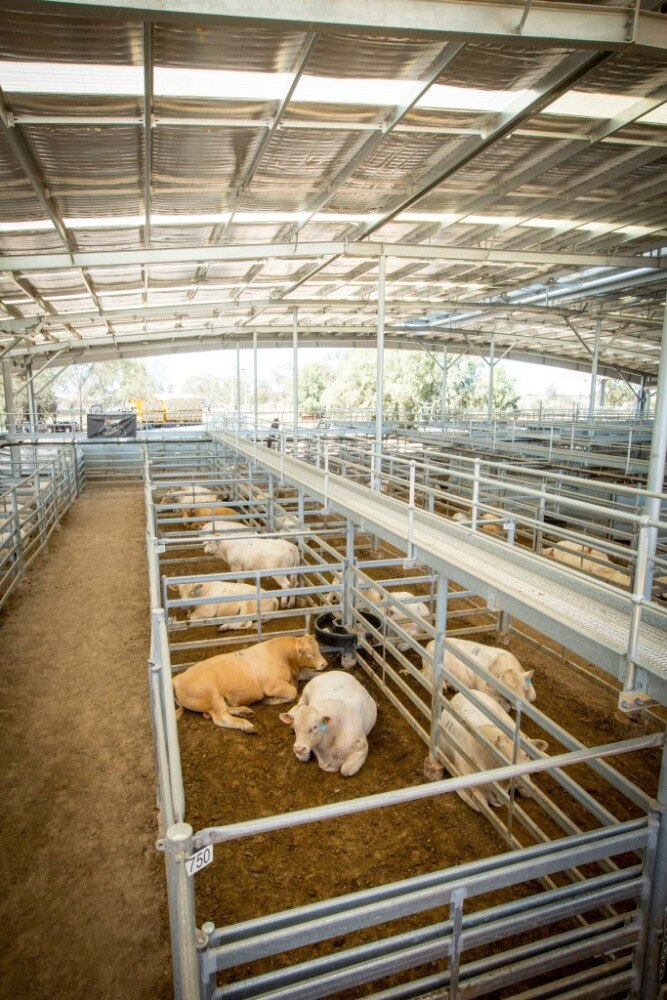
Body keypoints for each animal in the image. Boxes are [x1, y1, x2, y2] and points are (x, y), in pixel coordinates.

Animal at [172, 634, 327, 733]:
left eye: (318, 648)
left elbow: (312, 675)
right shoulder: (273, 685)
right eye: (309, 653)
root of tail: (178, 678)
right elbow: (293, 692)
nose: (324, 663)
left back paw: (244, 710)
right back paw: (247, 725)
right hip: (213, 697)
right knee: (221, 717)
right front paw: (270, 700)